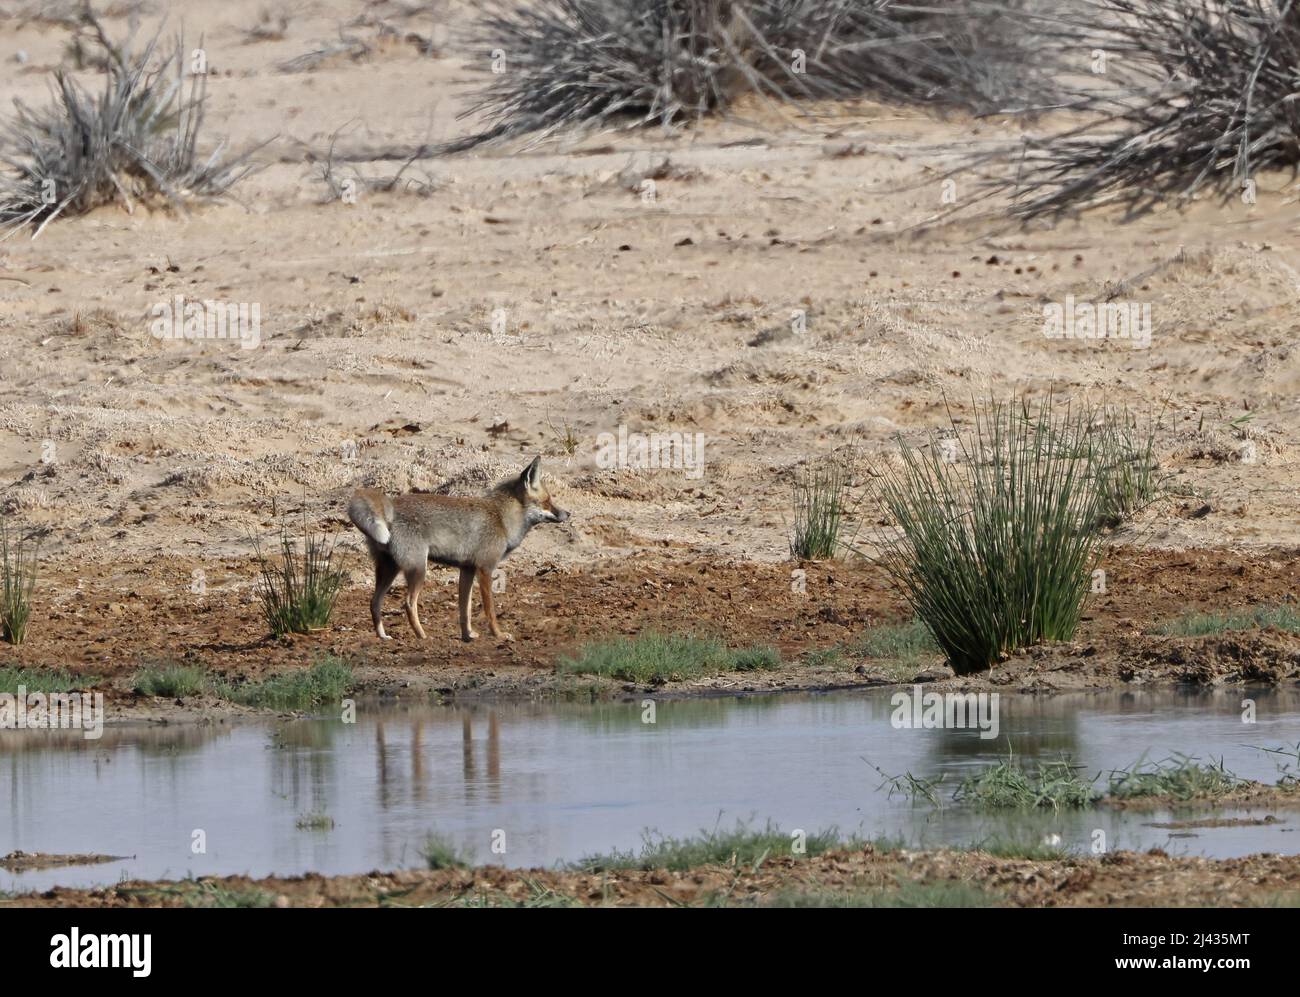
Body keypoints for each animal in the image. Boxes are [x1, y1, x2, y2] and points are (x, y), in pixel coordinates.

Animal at [347, 456, 569, 642]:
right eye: (547, 502)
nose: (568, 514)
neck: (501, 519)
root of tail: (391, 504)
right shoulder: (485, 569)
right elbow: (490, 610)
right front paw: (498, 635)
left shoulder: (468, 570)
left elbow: (466, 610)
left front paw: (467, 635)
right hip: (418, 570)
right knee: (408, 603)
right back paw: (422, 636)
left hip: (389, 571)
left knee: (374, 603)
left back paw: (383, 636)